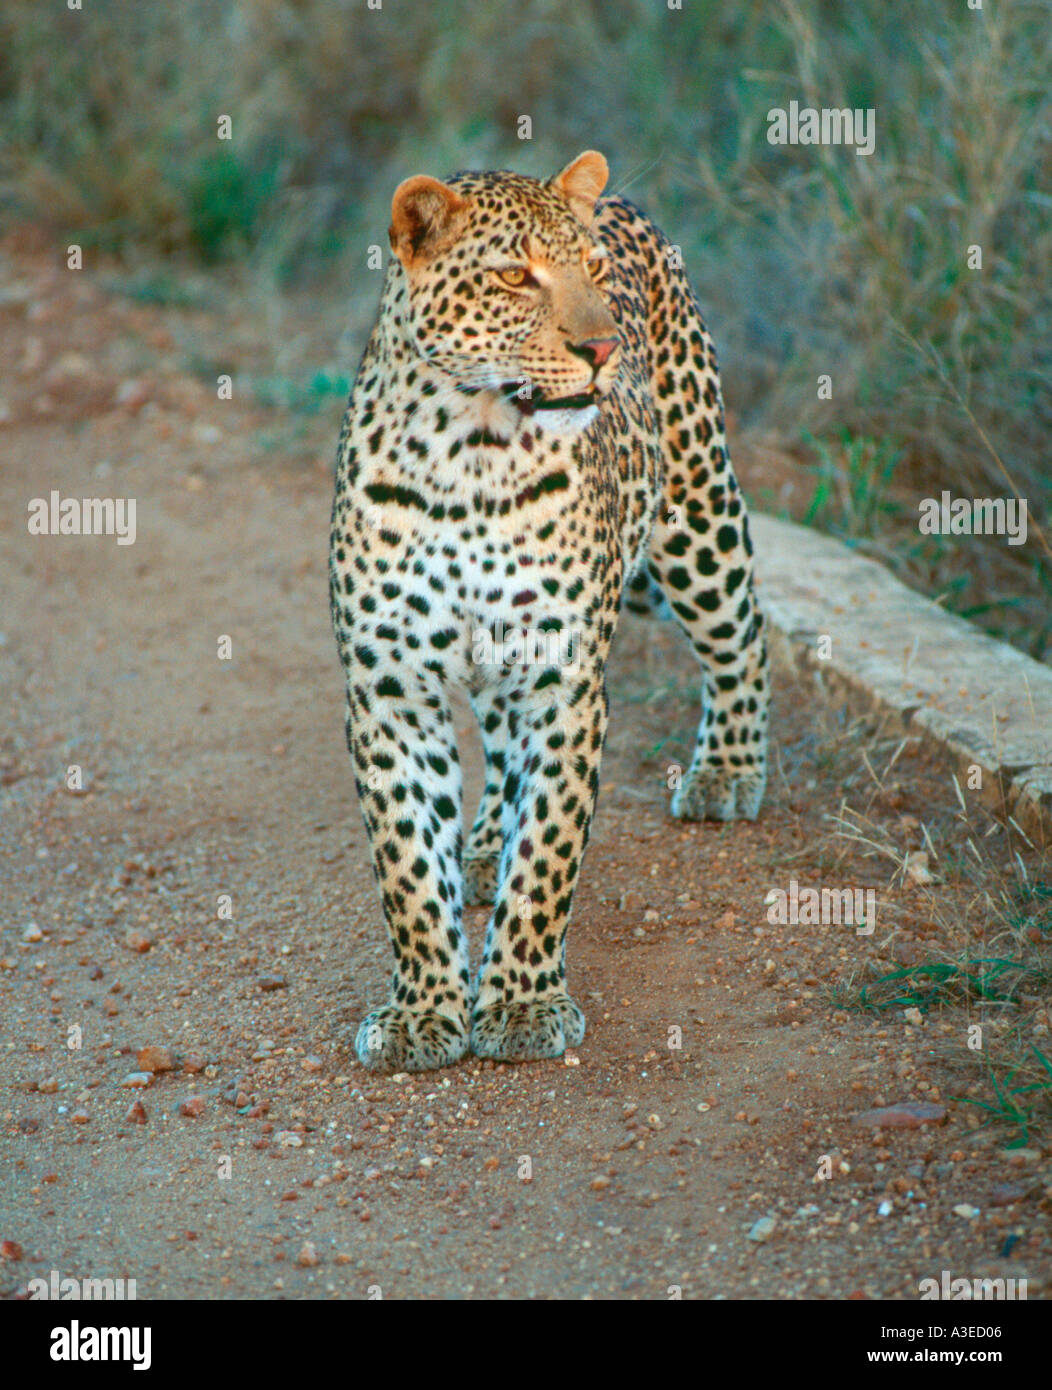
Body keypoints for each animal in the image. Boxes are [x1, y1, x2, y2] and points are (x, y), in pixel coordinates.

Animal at [329, 150, 769, 1072]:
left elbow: (549, 859)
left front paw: (523, 1003)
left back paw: (728, 771)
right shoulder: (390, 692)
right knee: (498, 750)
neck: (467, 454)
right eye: (513, 277)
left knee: (741, 636)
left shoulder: (563, 685)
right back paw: (483, 838)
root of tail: (622, 196)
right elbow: (407, 867)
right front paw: (423, 1010)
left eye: (592, 272)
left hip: (698, 514)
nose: (602, 348)